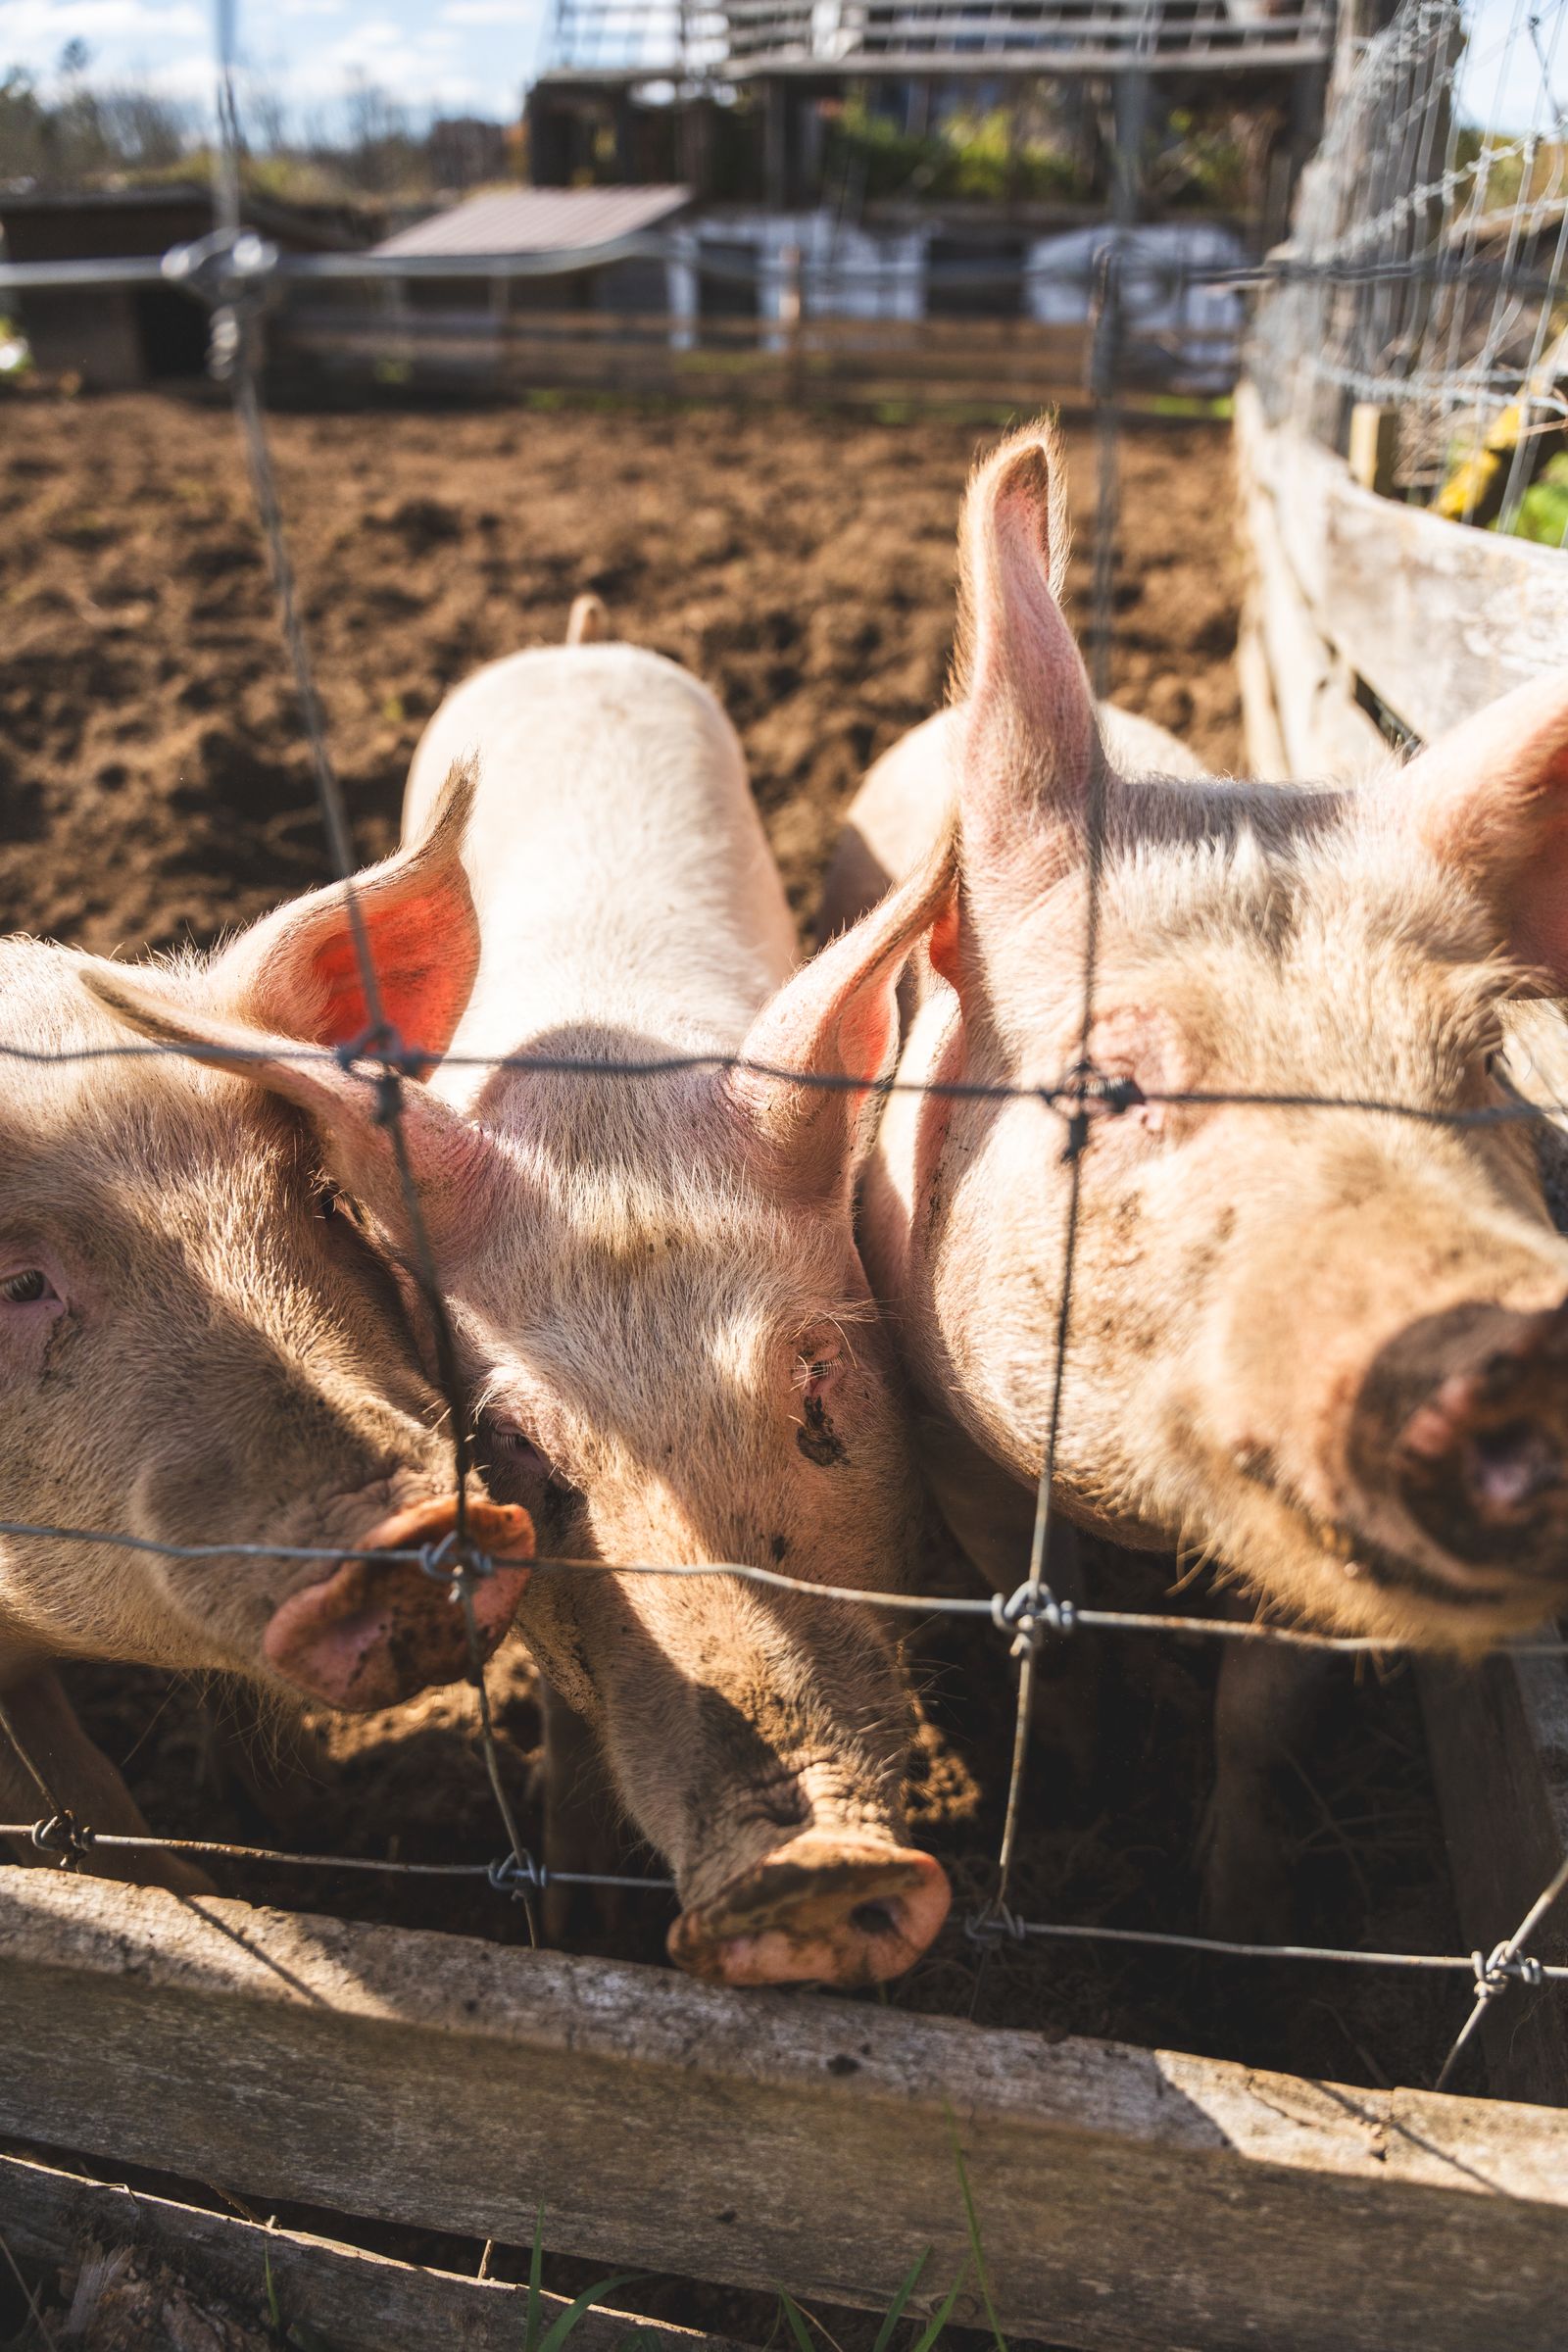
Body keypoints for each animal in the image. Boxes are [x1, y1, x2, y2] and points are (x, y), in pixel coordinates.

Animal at [108, 631, 955, 1990]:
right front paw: (576, 1928)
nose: (810, 1871)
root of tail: (576, 635)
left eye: (820, 1381)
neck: (608, 1093)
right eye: (513, 1443)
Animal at [822, 419, 1568, 1932]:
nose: (1513, 1336)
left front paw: (1242, 1914)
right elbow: (1047, 1637)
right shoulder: (945, 1428)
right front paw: (1078, 1795)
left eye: (1479, 1063)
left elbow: (1262, 1713)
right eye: (1106, 1089)